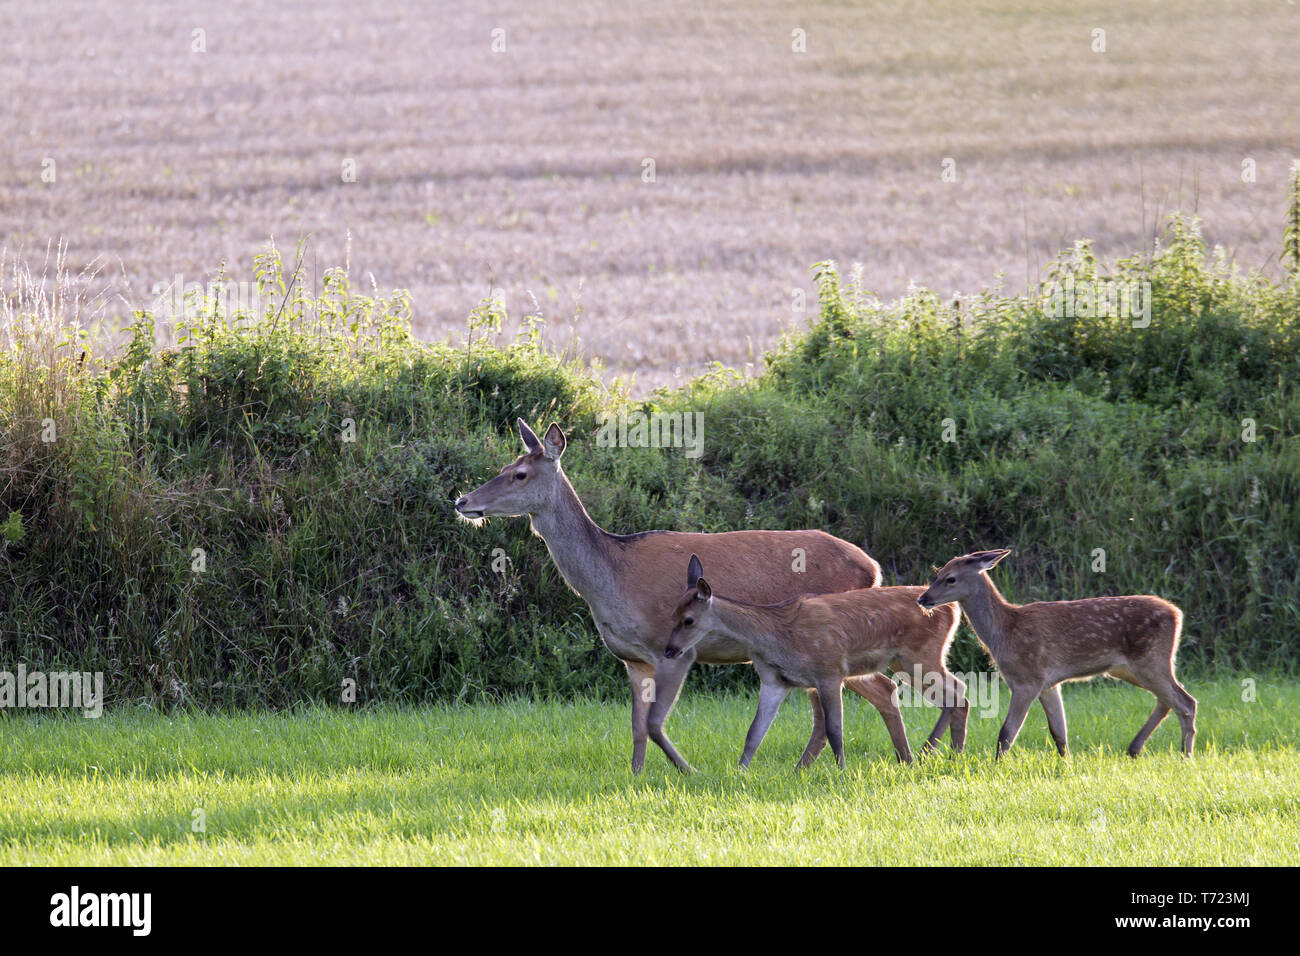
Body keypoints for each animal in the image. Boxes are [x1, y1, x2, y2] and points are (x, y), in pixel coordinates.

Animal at [454, 419, 913, 773]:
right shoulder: (632, 658)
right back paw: (882, 761)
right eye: (506, 464)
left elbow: (656, 723)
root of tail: (872, 566)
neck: (611, 580)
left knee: (875, 691)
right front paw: (636, 777)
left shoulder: (672, 648)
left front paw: (689, 770)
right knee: (858, 698)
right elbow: (636, 727)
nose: (462, 500)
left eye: (520, 474)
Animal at [664, 555, 968, 768]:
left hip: (923, 655)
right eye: (672, 613)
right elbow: (754, 732)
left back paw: (938, 752)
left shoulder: (829, 669)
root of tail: (953, 609)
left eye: (688, 620)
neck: (776, 638)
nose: (669, 650)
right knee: (954, 694)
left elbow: (835, 729)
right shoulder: (774, 681)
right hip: (903, 664)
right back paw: (938, 755)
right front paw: (740, 771)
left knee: (958, 692)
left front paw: (842, 770)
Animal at [916, 549, 1196, 758]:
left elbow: (1006, 733)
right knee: (1170, 698)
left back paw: (1185, 755)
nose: (923, 598)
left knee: (1186, 702)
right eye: (937, 573)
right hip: (1130, 667)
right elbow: (1059, 733)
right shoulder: (1049, 684)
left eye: (950, 578)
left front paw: (996, 768)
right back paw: (1135, 748)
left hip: (1150, 659)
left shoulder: (1028, 678)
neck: (1005, 632)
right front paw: (1068, 765)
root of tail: (1177, 613)